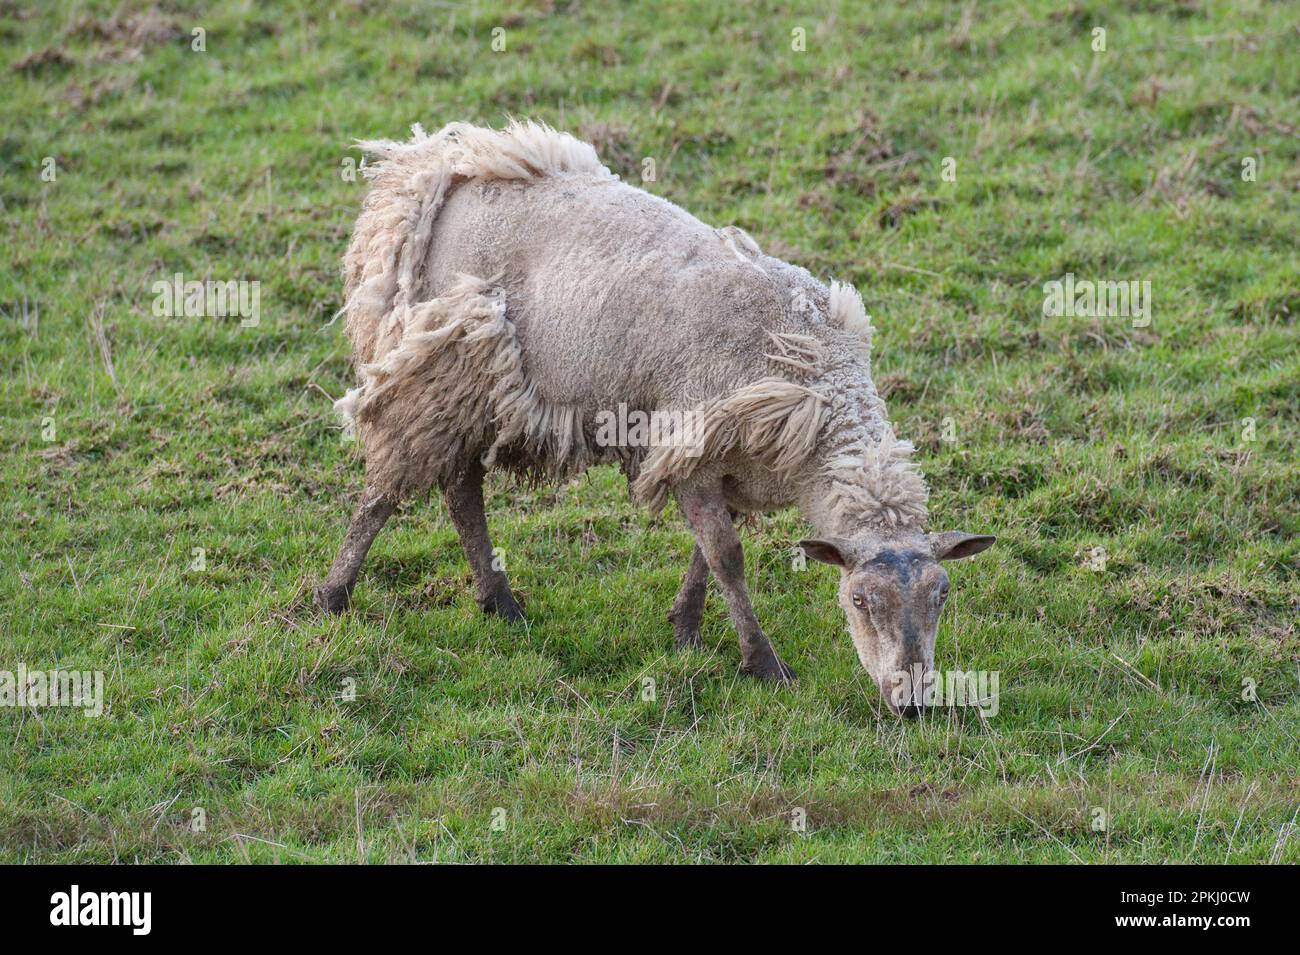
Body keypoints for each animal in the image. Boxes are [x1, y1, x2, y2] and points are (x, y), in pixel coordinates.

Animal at [314, 119, 995, 714]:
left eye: (943, 594)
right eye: (858, 599)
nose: (913, 705)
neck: (818, 382)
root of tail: (429, 169)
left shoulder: (720, 459)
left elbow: (709, 549)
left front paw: (686, 629)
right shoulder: (692, 442)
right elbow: (727, 556)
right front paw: (762, 662)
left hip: (478, 391)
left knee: (461, 489)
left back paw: (498, 601)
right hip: (440, 365)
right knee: (386, 490)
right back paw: (332, 595)